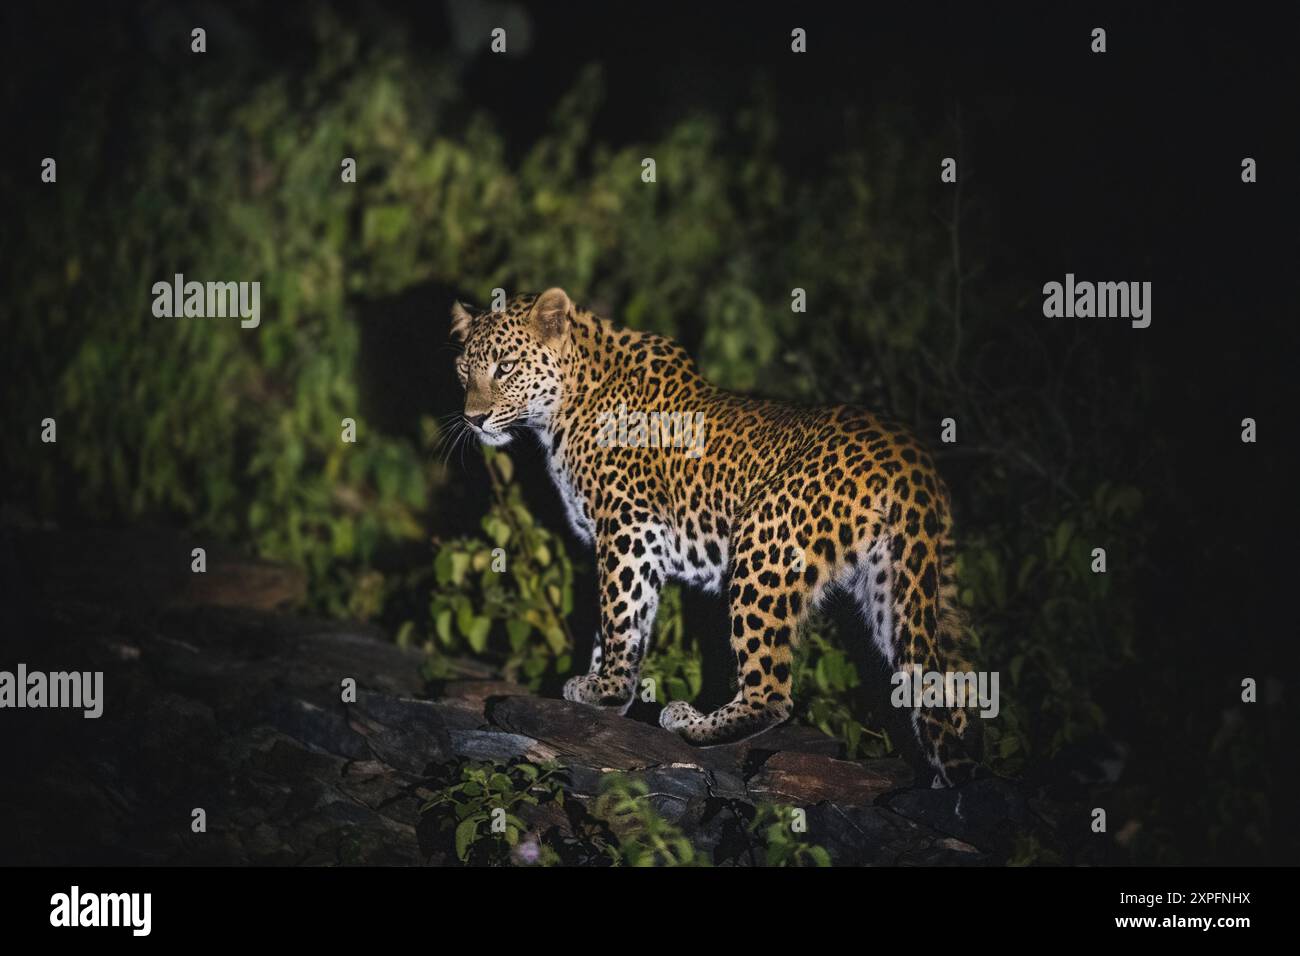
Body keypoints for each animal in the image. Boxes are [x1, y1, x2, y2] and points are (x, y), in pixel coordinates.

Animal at [450, 287, 984, 786]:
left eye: (505, 367)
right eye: (462, 373)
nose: (473, 418)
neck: (565, 404)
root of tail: (909, 458)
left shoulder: (628, 525)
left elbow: (619, 612)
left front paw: (607, 690)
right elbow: (617, 621)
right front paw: (604, 689)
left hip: (764, 544)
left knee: (772, 693)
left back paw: (690, 721)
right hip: (908, 584)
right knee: (947, 691)